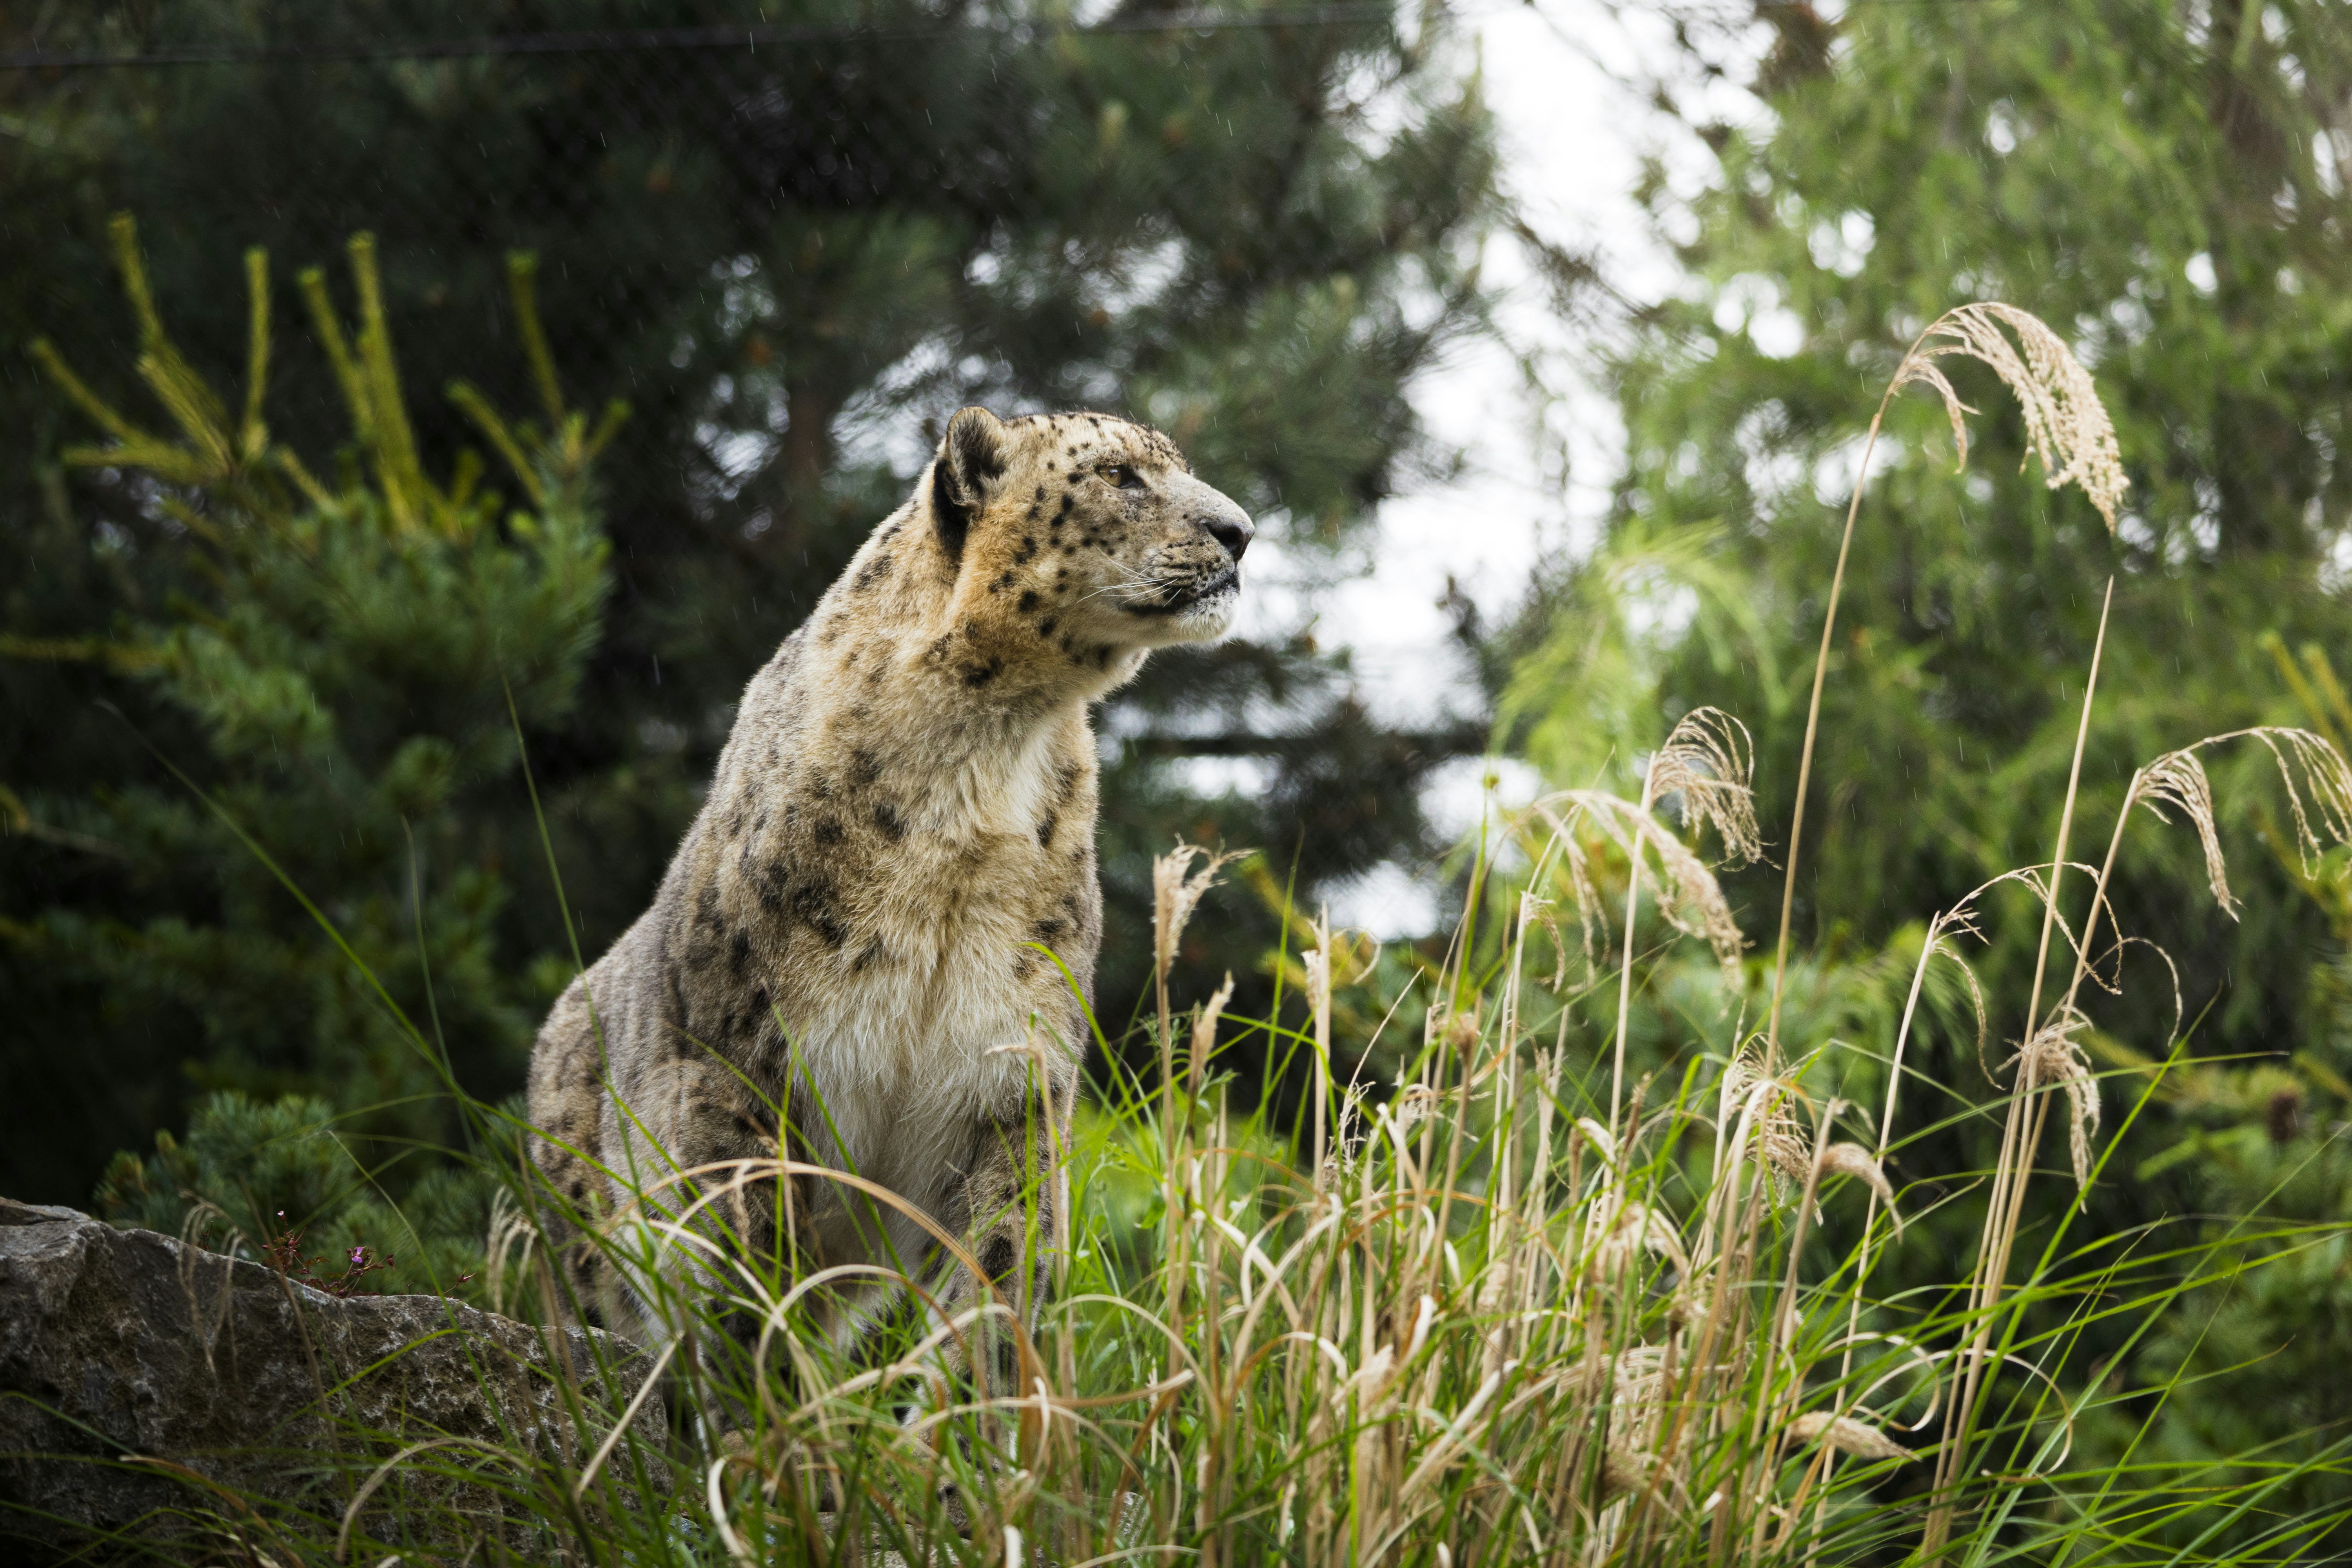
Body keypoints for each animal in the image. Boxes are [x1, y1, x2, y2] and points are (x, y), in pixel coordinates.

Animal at [525, 405, 1251, 1410]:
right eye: (1119, 474)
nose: (1242, 531)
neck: (987, 765)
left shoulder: (1011, 1079)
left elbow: (1000, 1269)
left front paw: (978, 1427)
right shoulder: (736, 1065)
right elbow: (747, 1266)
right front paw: (770, 1425)